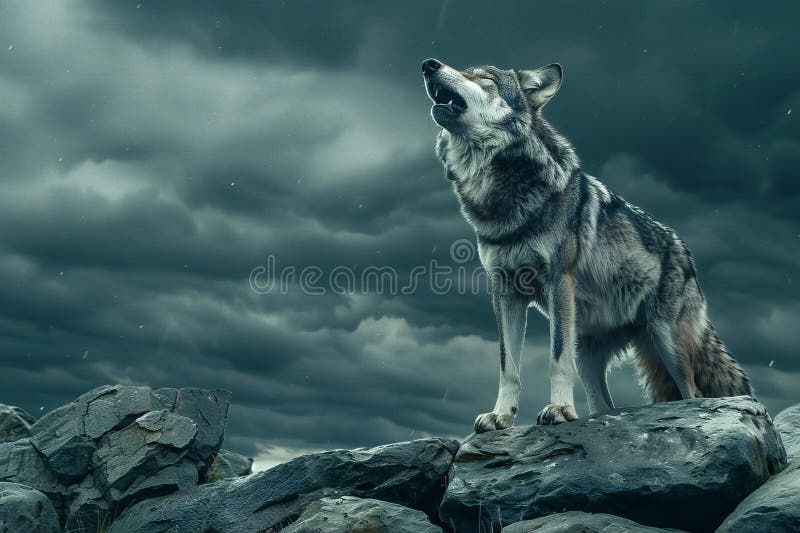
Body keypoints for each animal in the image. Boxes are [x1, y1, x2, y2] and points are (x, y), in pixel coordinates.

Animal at [421, 58, 753, 432]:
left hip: (666, 343)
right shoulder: (505, 291)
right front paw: (501, 416)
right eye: (467, 71)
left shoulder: (558, 281)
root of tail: (686, 252)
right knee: (604, 406)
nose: (429, 64)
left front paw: (560, 410)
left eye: (483, 78)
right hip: (591, 353)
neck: (502, 195)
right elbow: (509, 367)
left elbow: (555, 359)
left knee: (693, 392)